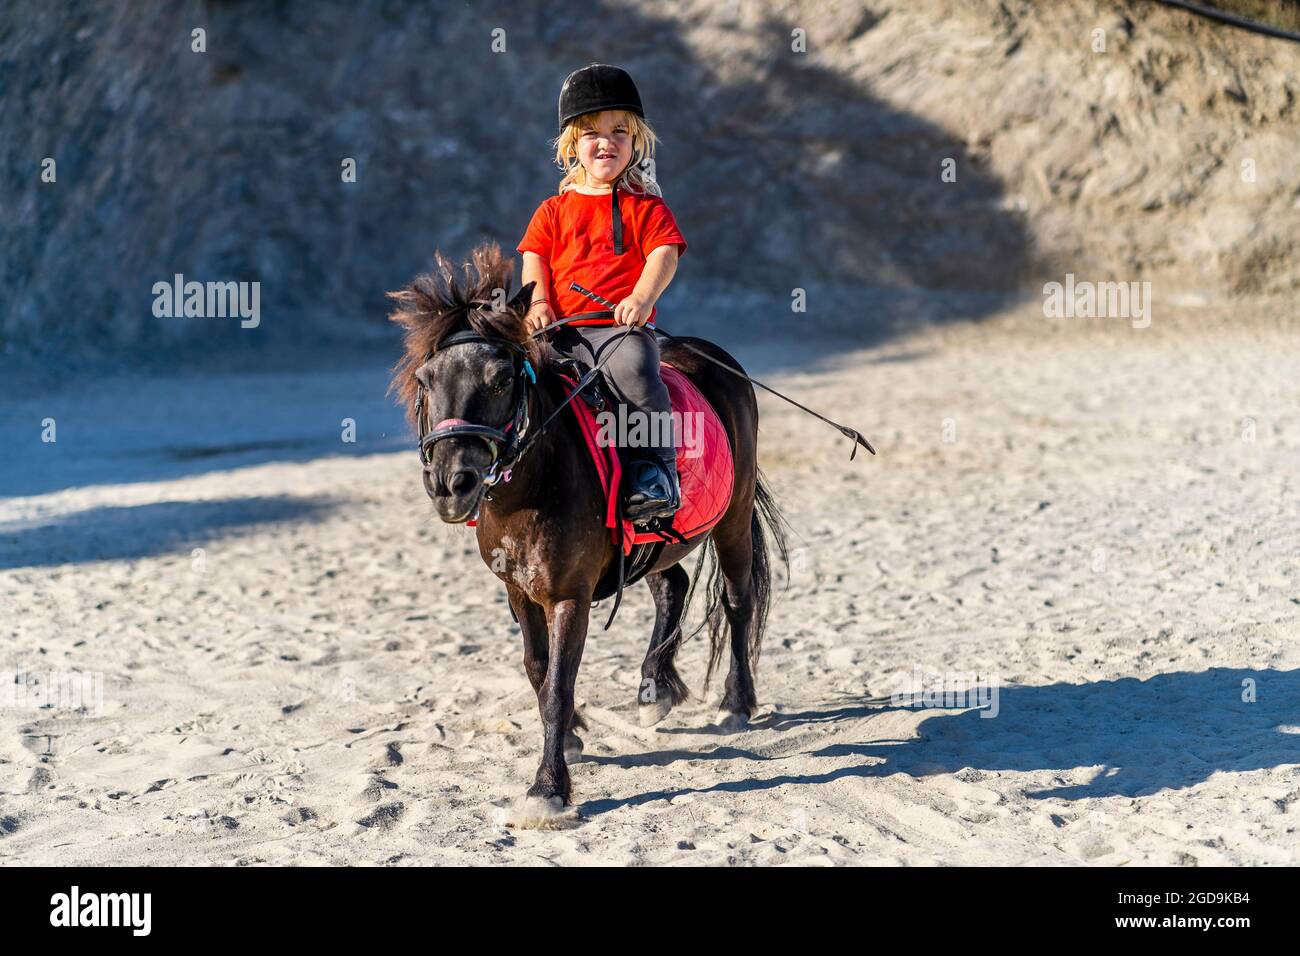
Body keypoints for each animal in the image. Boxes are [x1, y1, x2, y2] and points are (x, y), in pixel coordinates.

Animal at [388, 243, 789, 827]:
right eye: (425, 380)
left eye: (501, 379)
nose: (450, 482)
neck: (531, 486)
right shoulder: (519, 592)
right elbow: (538, 670)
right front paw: (573, 738)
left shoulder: (568, 595)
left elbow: (558, 683)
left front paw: (547, 788)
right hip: (655, 545)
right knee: (672, 587)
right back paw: (653, 689)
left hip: (732, 519)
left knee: (737, 603)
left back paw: (736, 704)